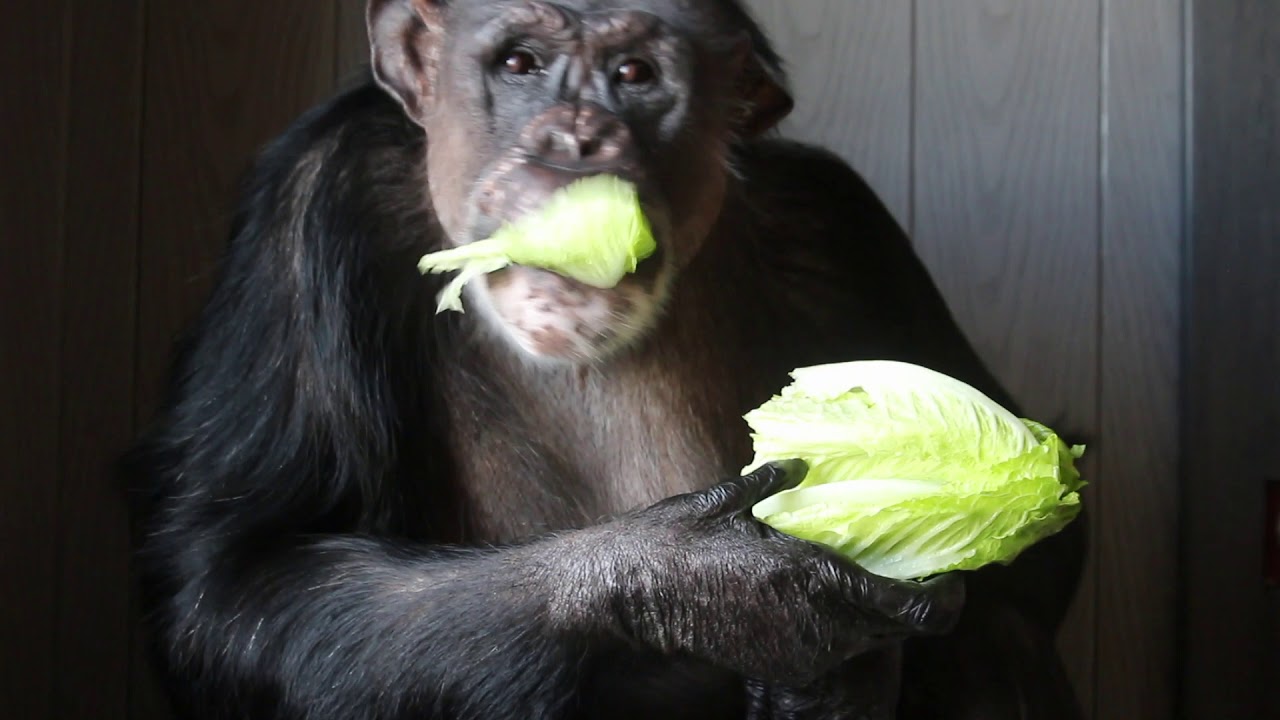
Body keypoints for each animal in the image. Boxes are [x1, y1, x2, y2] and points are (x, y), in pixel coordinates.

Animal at [125, 1, 1085, 718]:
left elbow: (1034, 576)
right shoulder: (307, 207)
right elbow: (235, 574)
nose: (577, 138)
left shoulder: (844, 223)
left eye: (634, 76)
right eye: (519, 63)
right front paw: (711, 584)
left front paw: (842, 688)